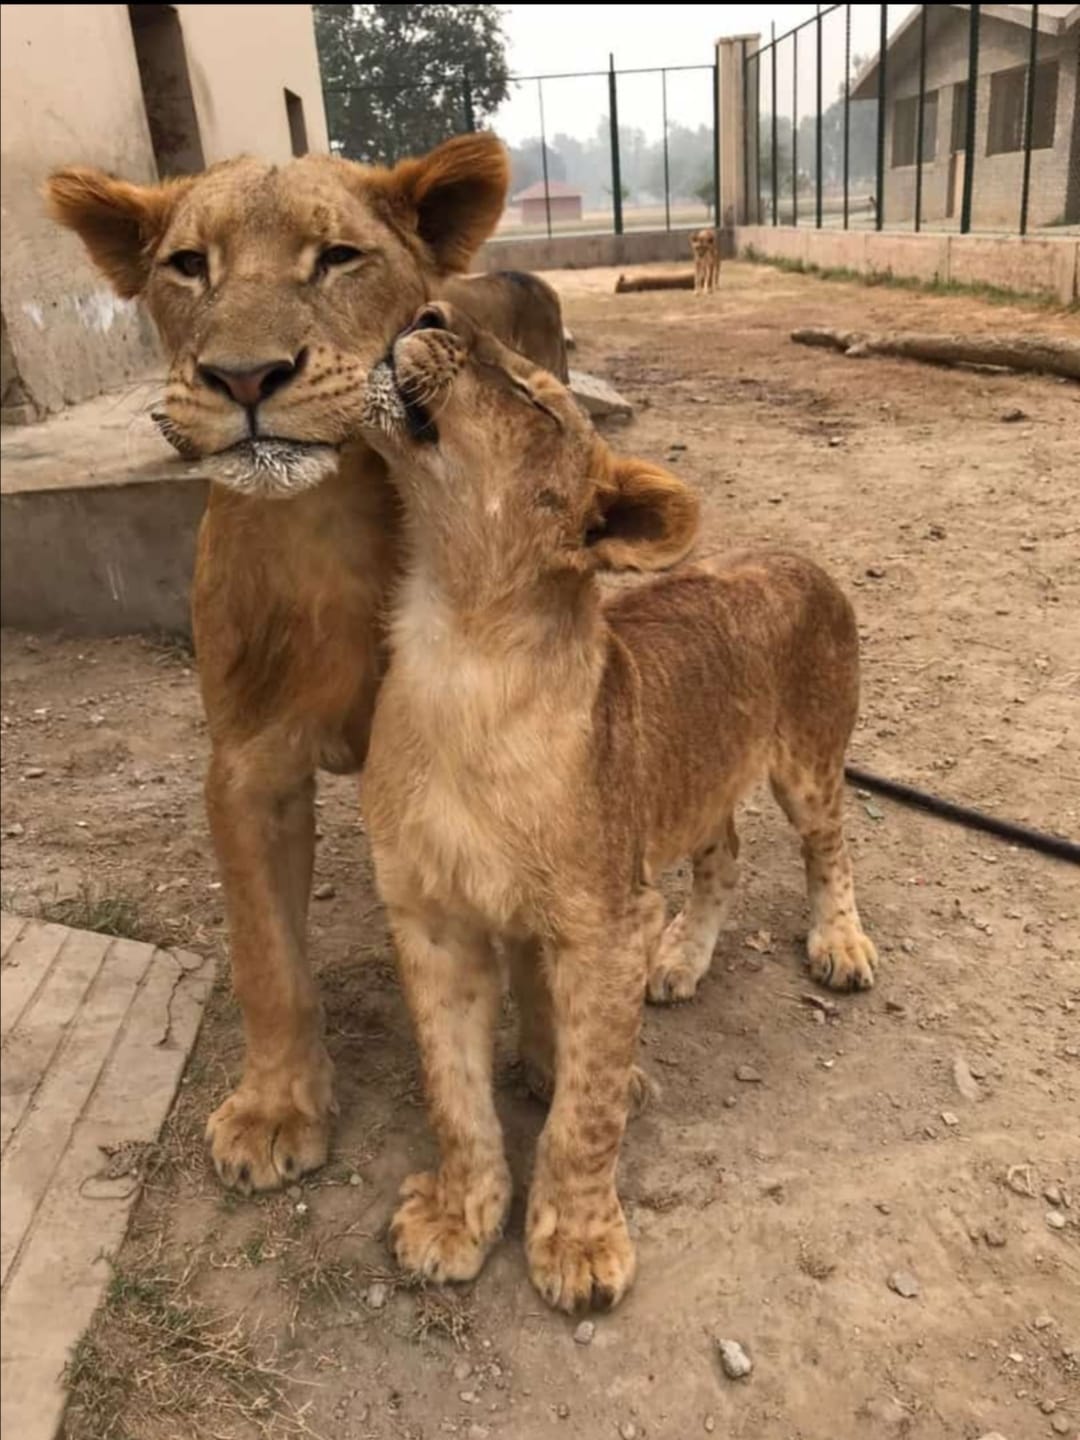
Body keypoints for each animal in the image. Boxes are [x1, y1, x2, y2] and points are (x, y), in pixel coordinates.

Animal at [45, 135, 584, 1196]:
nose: (246, 377)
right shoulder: (247, 765)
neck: (325, 520)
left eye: (336, 257)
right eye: (188, 265)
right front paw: (276, 1110)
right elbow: (267, 958)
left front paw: (547, 1058)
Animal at [357, 301, 878, 1312]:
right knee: (723, 857)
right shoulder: (433, 921)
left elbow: (583, 1111)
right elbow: (453, 1092)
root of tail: (796, 555)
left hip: (808, 765)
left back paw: (840, 943)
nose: (425, 312)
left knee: (827, 848)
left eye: (529, 395)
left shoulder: (603, 922)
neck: (459, 649)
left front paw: (579, 1241)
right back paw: (679, 959)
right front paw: (457, 1219)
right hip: (696, 779)